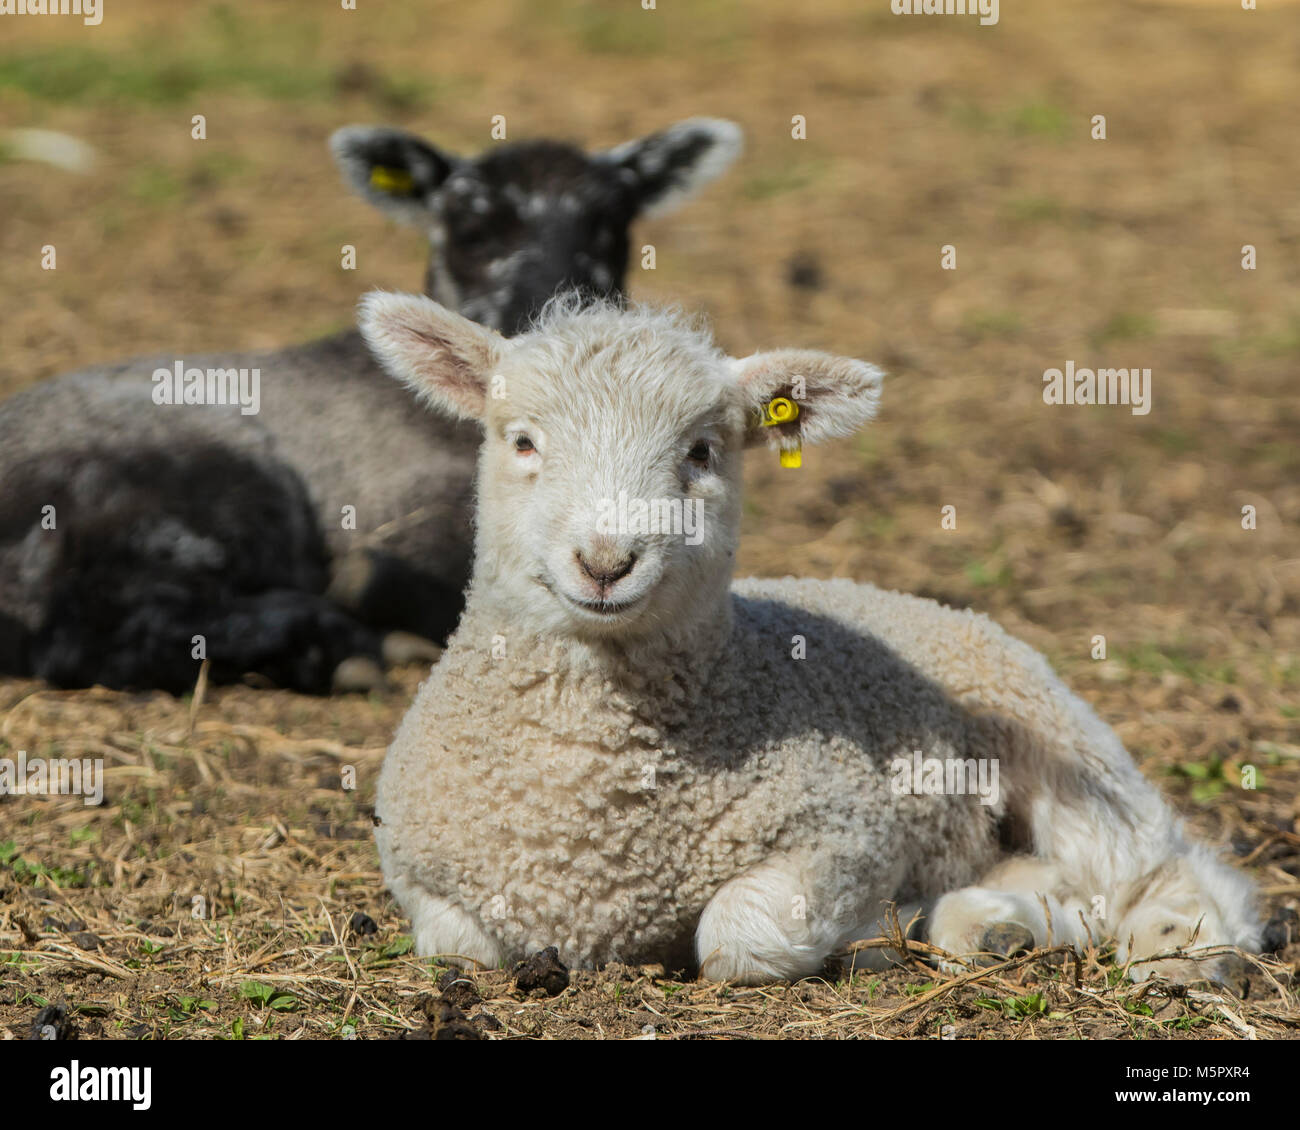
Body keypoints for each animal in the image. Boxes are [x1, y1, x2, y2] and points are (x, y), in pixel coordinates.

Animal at [0, 118, 743, 693]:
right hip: (198, 483)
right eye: (471, 233)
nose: (558, 309)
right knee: (93, 629)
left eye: (612, 229)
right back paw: (335, 645)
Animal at [359, 290, 1262, 985]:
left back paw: (1182, 949)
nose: (606, 562)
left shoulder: (843, 832)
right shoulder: (423, 879)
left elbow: (738, 935)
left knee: (1169, 868)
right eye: (522, 442)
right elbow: (462, 946)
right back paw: (993, 925)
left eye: (702, 452)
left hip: (1057, 740)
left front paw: (868, 932)